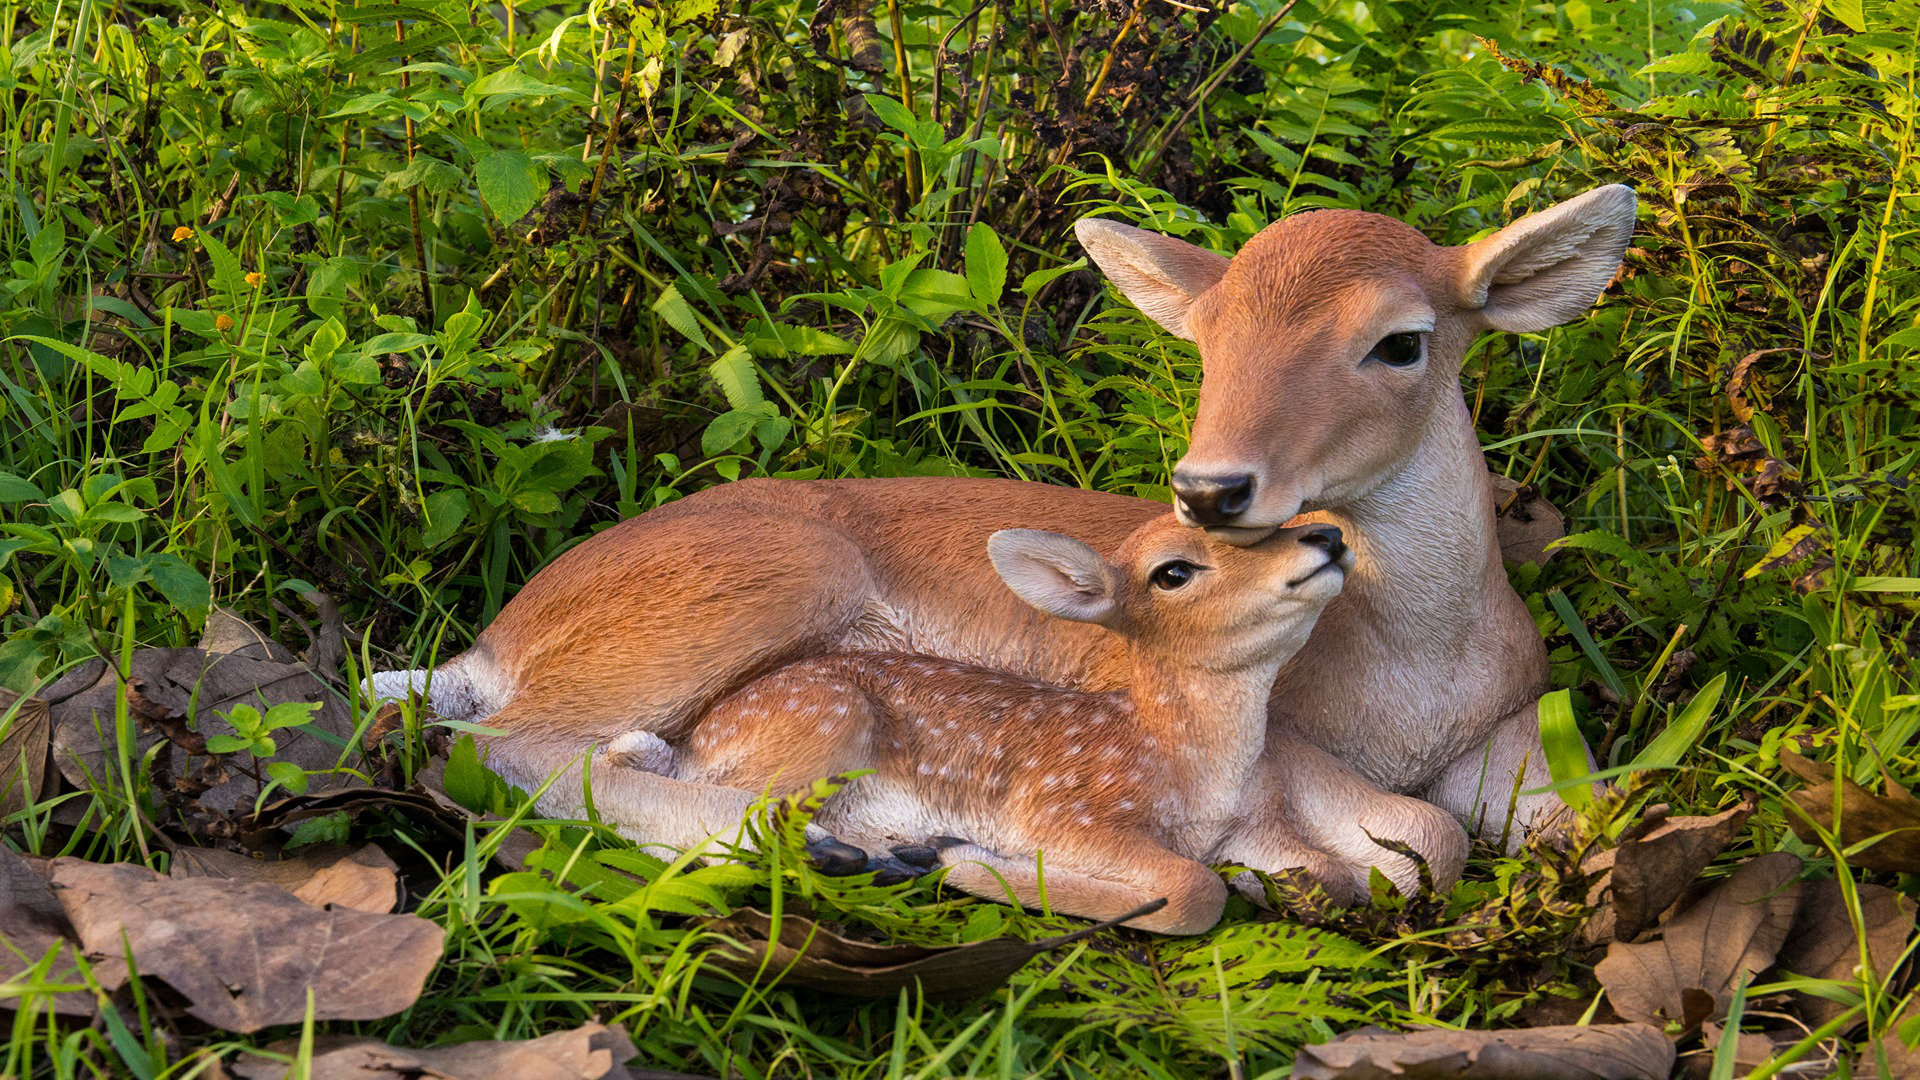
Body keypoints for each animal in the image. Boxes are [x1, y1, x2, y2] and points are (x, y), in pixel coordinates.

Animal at [370, 184, 1636, 891]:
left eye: (1402, 341)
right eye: (1207, 340)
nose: (1211, 486)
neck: (1414, 671)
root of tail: (497, 639)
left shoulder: (1520, 722)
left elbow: (1572, 821)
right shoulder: (1276, 739)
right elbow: (1428, 838)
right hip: (763, 585)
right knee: (508, 748)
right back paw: (846, 844)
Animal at [598, 516, 1463, 934]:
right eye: (1174, 571)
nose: (1326, 535)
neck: (1189, 765)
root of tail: (703, 733)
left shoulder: (1253, 824)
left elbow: (1336, 874)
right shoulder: (1064, 807)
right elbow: (1194, 892)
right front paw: (966, 858)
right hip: (823, 724)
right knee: (700, 811)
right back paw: (884, 854)